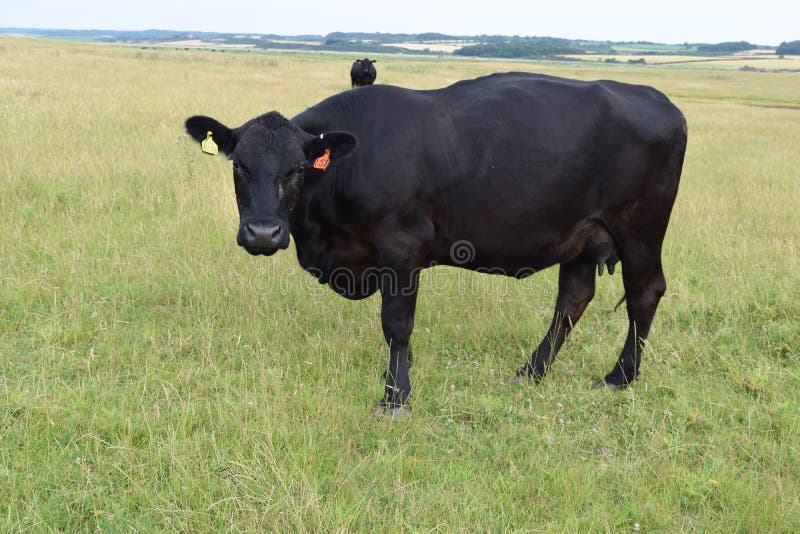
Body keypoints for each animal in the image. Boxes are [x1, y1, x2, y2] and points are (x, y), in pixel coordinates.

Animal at [185, 72, 687, 421]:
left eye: (297, 169)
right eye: (239, 166)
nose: (263, 233)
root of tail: (658, 99)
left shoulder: (401, 250)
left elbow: (396, 325)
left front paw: (395, 398)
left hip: (640, 229)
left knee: (644, 295)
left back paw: (619, 377)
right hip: (582, 237)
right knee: (572, 300)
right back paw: (531, 373)